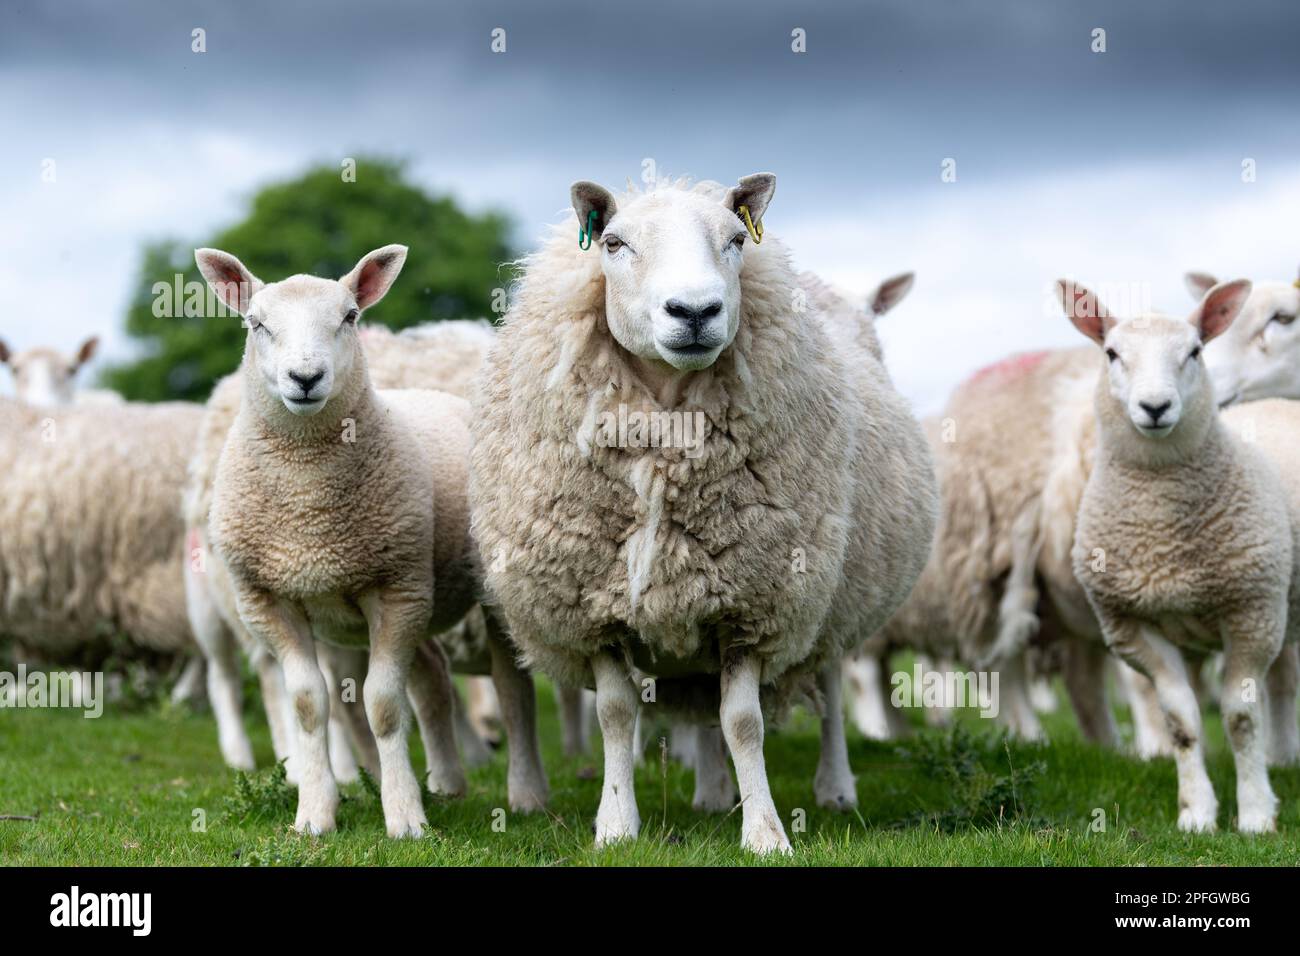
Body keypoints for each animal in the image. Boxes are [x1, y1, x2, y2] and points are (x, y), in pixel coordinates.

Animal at [184, 319, 551, 807]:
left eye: (345, 319)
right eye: (259, 325)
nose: (304, 379)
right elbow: (317, 699)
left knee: (488, 680)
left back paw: (496, 786)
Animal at [469, 174, 937, 853]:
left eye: (737, 239)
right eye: (614, 243)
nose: (694, 312)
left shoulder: (753, 604)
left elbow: (743, 722)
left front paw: (766, 833)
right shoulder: (598, 609)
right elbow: (617, 715)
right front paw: (617, 825)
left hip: (825, 598)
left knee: (825, 690)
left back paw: (834, 787)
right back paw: (714, 792)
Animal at [1060, 278, 1299, 832]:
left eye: (1194, 351)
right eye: (1111, 353)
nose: (1154, 407)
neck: (1162, 532)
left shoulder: (1251, 614)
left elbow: (1240, 717)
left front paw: (1256, 813)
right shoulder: (1134, 627)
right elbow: (1181, 721)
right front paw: (1197, 812)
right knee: (1282, 677)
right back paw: (1280, 760)